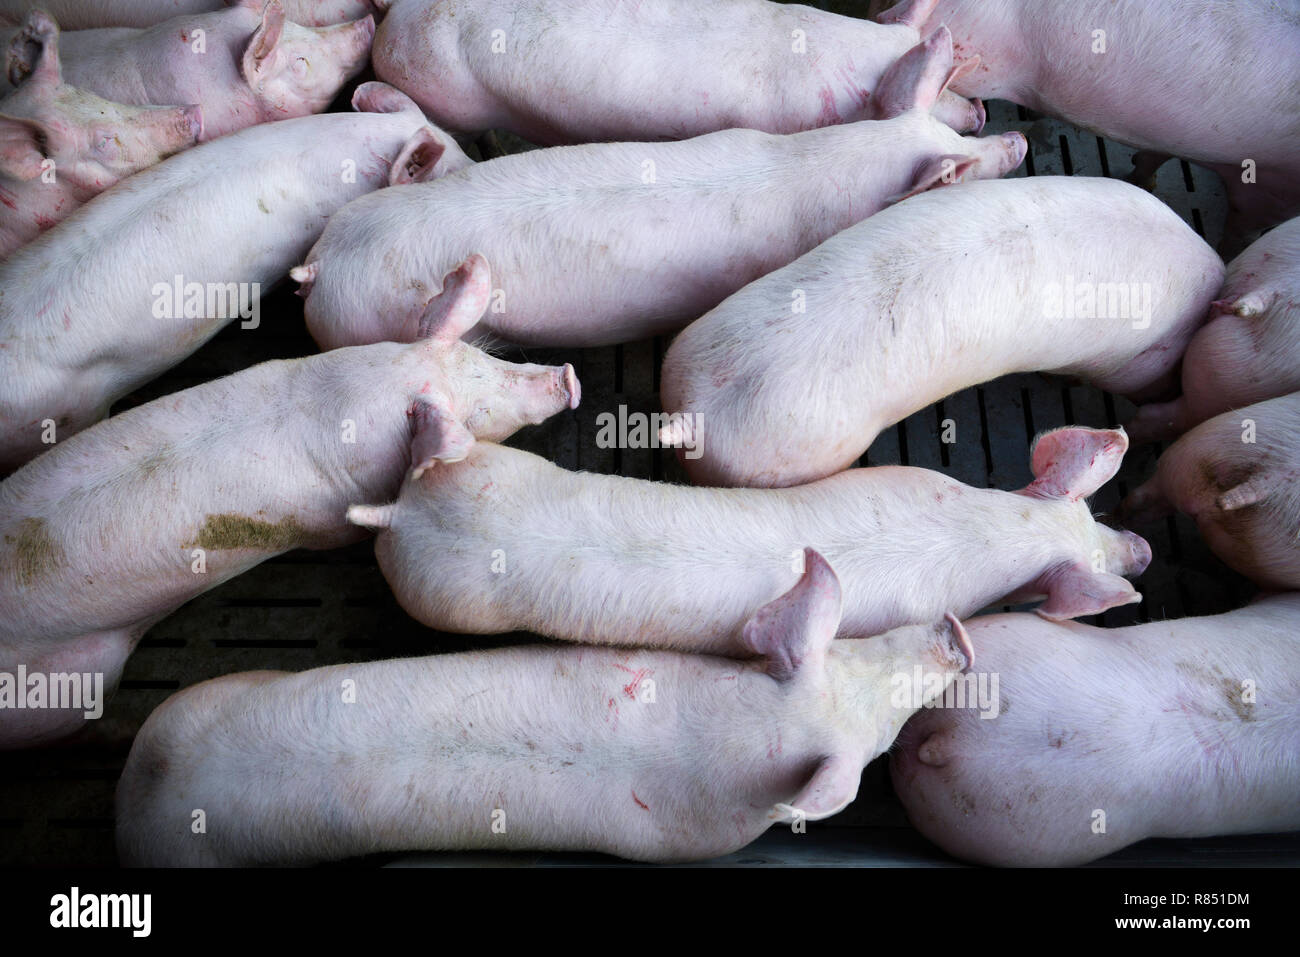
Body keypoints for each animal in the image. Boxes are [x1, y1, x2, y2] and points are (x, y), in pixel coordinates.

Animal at [345, 427, 1151, 656]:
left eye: (1093, 516)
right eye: (1096, 550)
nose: (1142, 549)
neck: (991, 532)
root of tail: (397, 515)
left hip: (496, 467)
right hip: (450, 602)